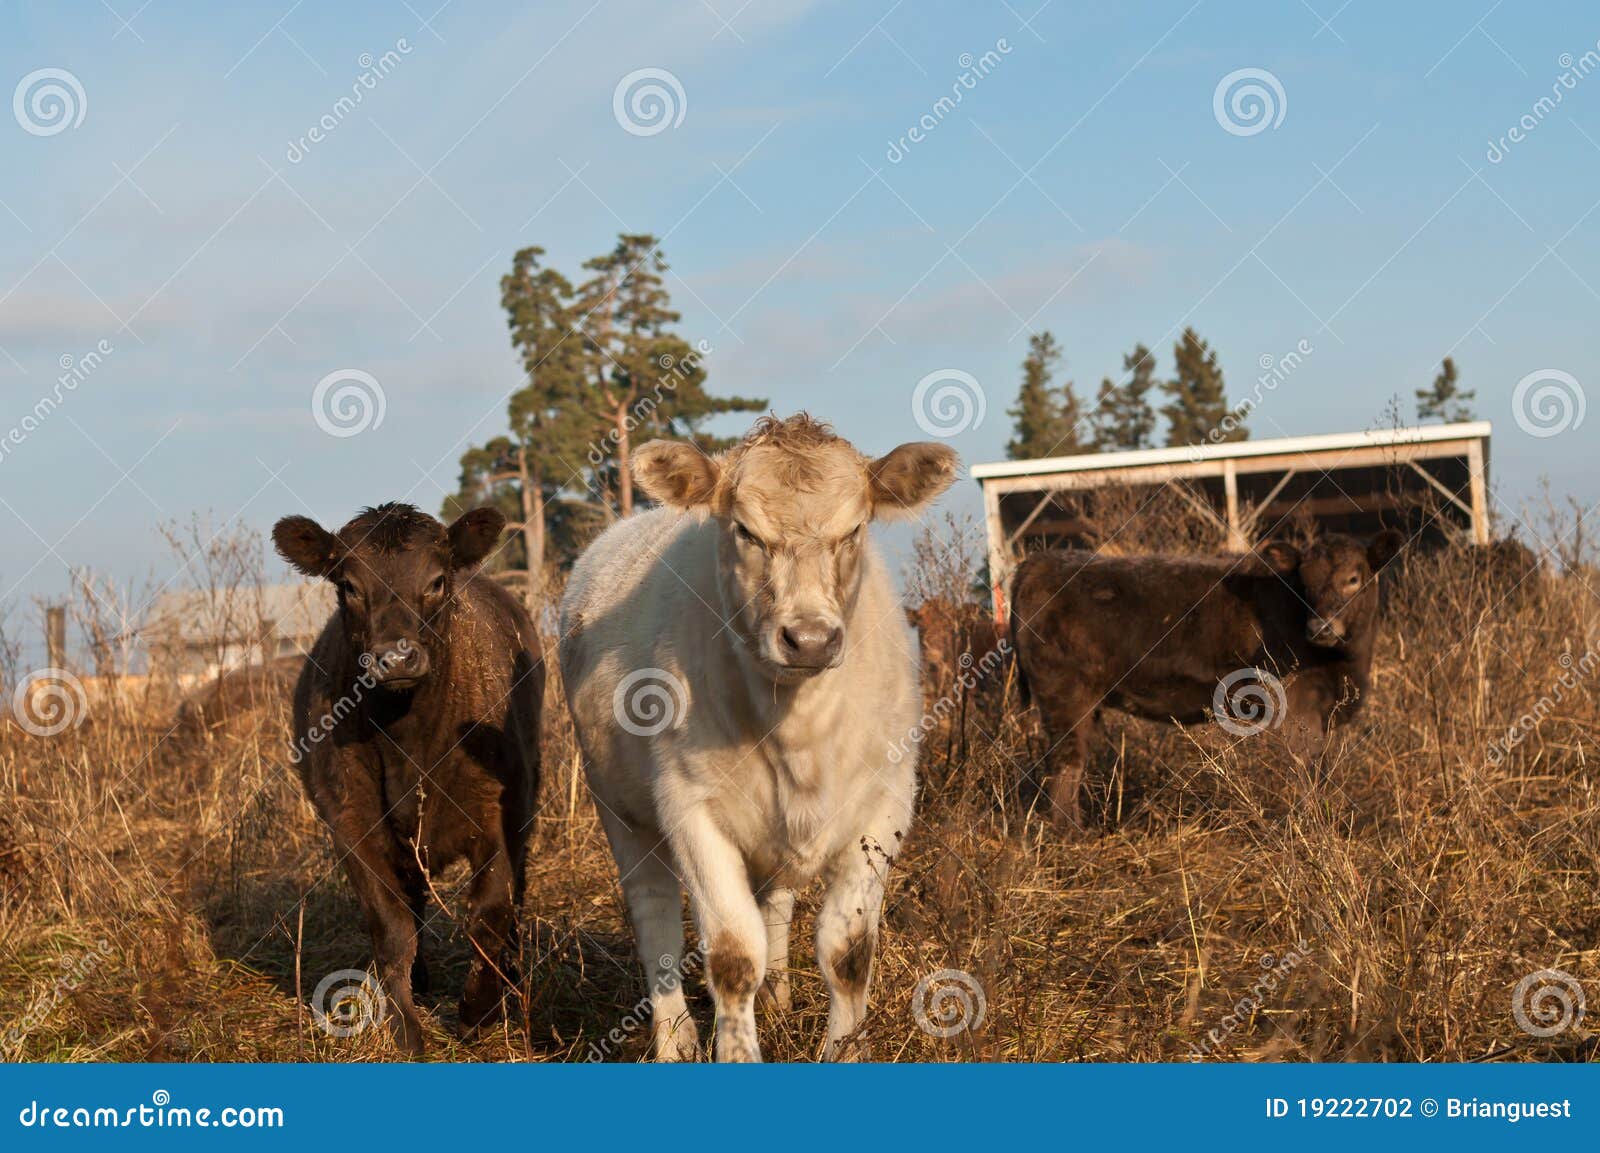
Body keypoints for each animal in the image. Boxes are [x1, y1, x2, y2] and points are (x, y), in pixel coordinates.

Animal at [272, 502, 543, 1054]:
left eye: (436, 580)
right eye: (348, 585)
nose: (395, 657)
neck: (407, 742)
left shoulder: (502, 812)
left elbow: (490, 911)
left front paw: (477, 1013)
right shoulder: (351, 824)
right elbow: (391, 925)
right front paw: (406, 1029)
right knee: (412, 902)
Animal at [559, 414, 956, 1062]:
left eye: (854, 529)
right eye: (745, 530)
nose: (811, 638)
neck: (798, 732)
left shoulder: (888, 804)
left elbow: (847, 953)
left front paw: (843, 1048)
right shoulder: (691, 810)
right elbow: (731, 955)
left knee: (775, 905)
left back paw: (776, 999)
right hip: (619, 808)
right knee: (655, 918)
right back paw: (676, 1038)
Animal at [1009, 531, 1403, 830]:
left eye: (1353, 579)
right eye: (1304, 584)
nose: (1320, 628)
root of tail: (1040, 562)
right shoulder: (1300, 710)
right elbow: (1306, 772)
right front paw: (1313, 827)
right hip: (1065, 698)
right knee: (1065, 768)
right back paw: (1071, 837)